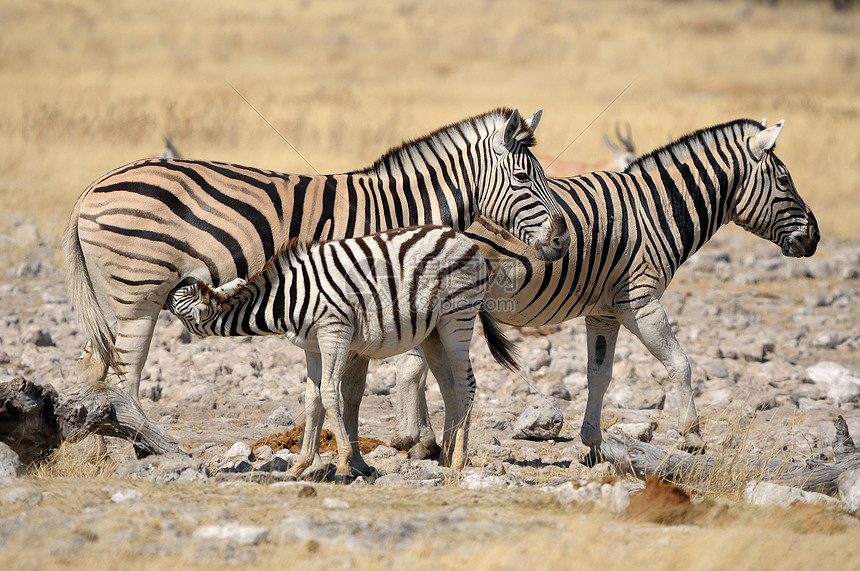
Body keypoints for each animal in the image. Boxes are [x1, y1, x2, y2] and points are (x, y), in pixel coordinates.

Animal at [165, 226, 519, 482]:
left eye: (178, 300)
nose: (171, 283)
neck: (286, 300)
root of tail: (462, 238)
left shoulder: (334, 333)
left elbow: (331, 394)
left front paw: (346, 461)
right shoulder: (311, 347)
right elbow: (313, 400)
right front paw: (300, 466)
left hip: (457, 318)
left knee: (466, 385)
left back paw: (458, 461)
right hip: (433, 333)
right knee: (449, 389)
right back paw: (445, 457)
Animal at [389, 118, 820, 458]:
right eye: (785, 180)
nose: (815, 238)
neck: (655, 211)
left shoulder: (603, 313)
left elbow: (599, 374)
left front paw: (593, 442)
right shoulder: (639, 300)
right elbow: (679, 363)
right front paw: (693, 437)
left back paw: (423, 440)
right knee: (413, 367)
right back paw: (417, 440)